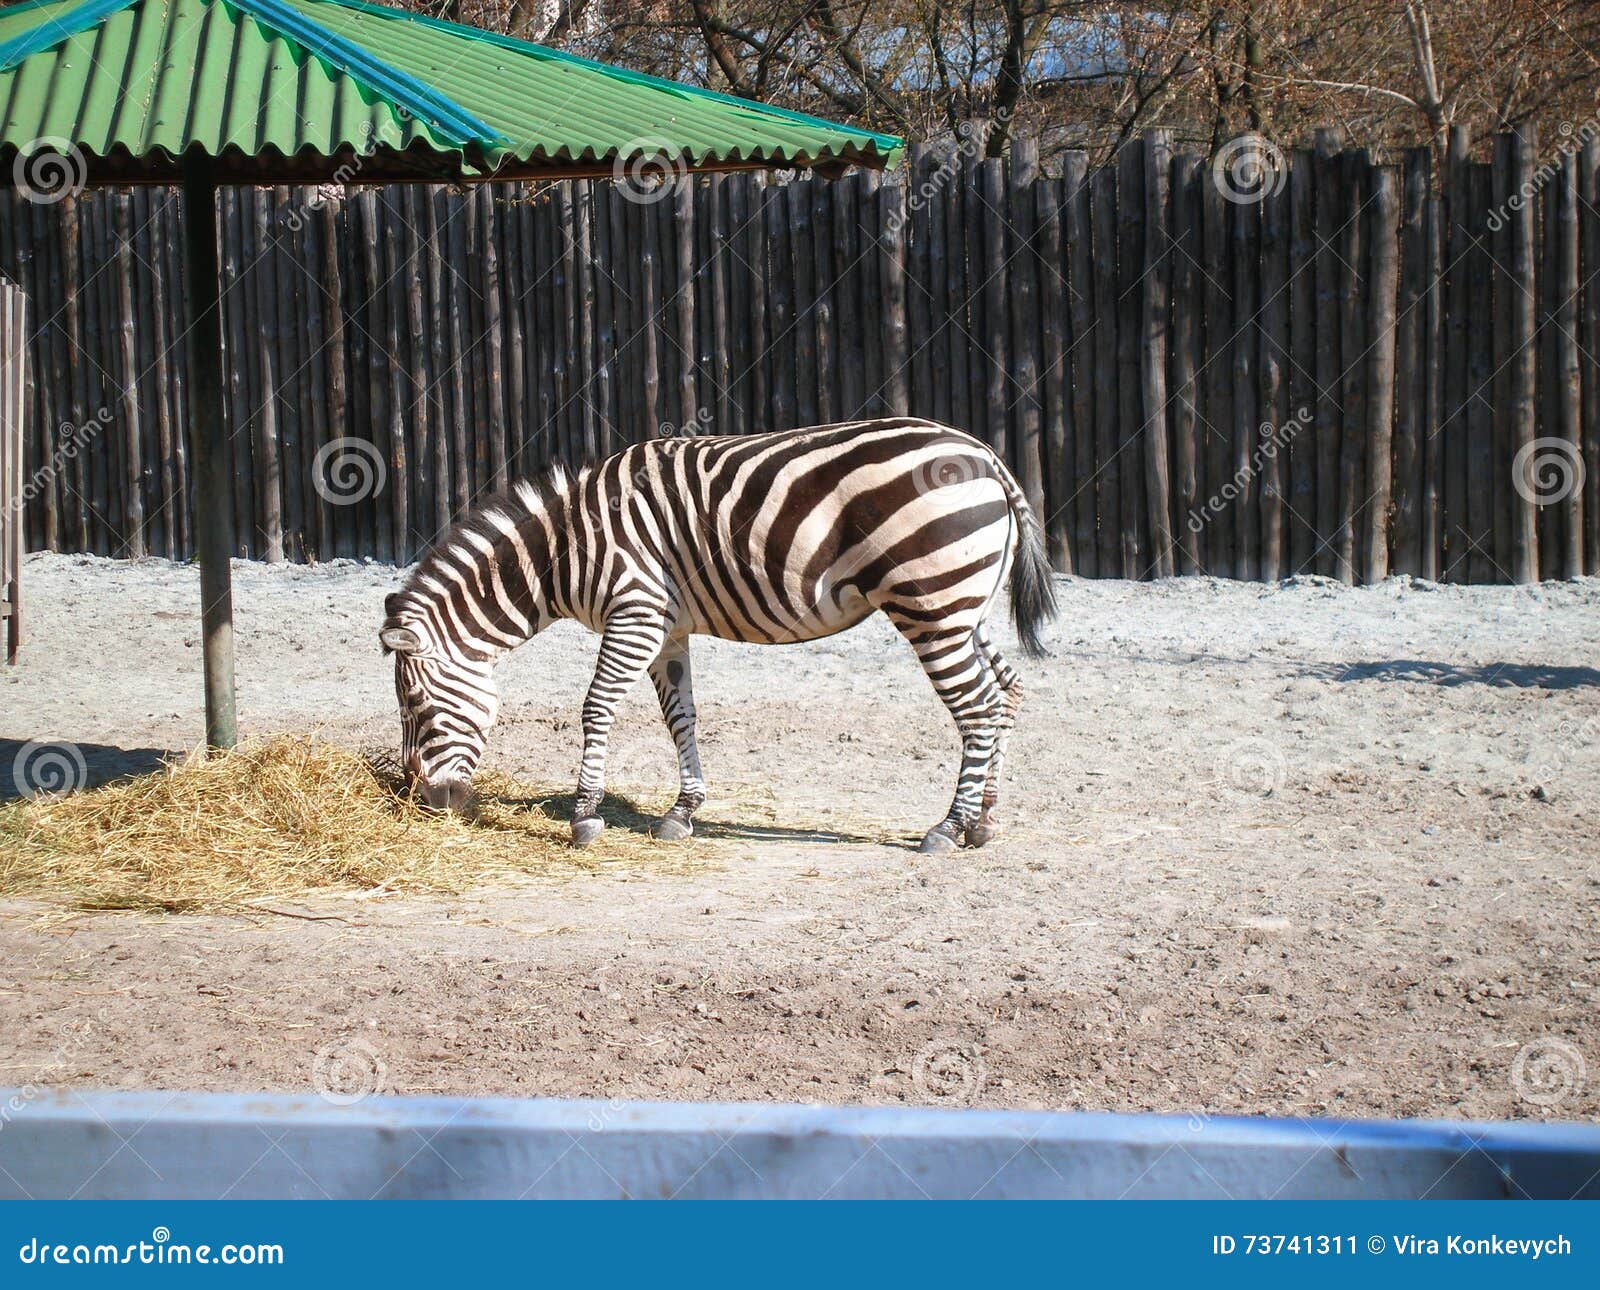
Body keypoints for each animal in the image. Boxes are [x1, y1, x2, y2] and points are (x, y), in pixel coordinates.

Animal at [379, 417, 1059, 853]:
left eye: (414, 705)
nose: (425, 803)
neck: (565, 549)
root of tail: (985, 455)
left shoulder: (635, 610)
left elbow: (596, 708)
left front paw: (584, 817)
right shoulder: (667, 628)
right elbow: (680, 717)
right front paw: (681, 813)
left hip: (931, 604)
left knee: (976, 707)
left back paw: (948, 827)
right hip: (961, 607)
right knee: (1007, 692)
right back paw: (984, 822)